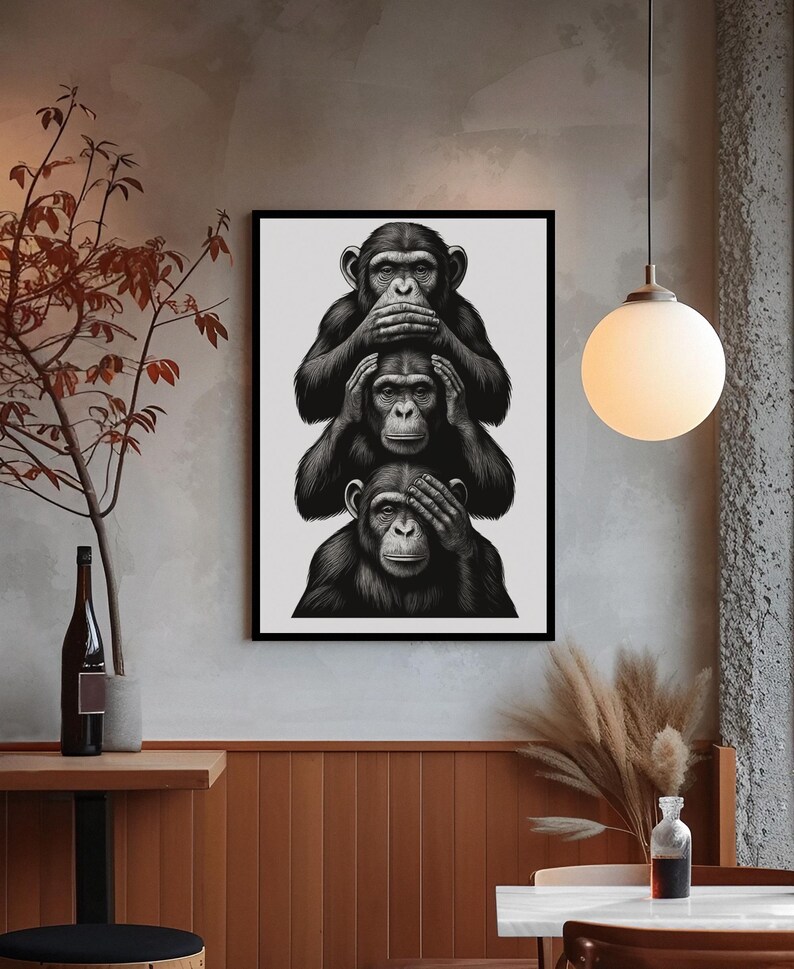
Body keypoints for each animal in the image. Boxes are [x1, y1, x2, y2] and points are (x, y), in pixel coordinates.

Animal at [292, 463, 517, 618]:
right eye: (387, 510)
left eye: (420, 511)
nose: (405, 530)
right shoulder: (329, 562)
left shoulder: (490, 561)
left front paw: (457, 536)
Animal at [294, 221, 511, 426]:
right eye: (387, 270)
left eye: (421, 269)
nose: (404, 288)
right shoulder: (337, 316)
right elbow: (310, 381)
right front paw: (371, 327)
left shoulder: (468, 317)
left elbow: (494, 381)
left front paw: (437, 331)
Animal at [295, 345, 514, 520]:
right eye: (388, 391)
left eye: (420, 391)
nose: (404, 411)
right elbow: (311, 492)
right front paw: (352, 399)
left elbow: (496, 488)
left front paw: (456, 401)